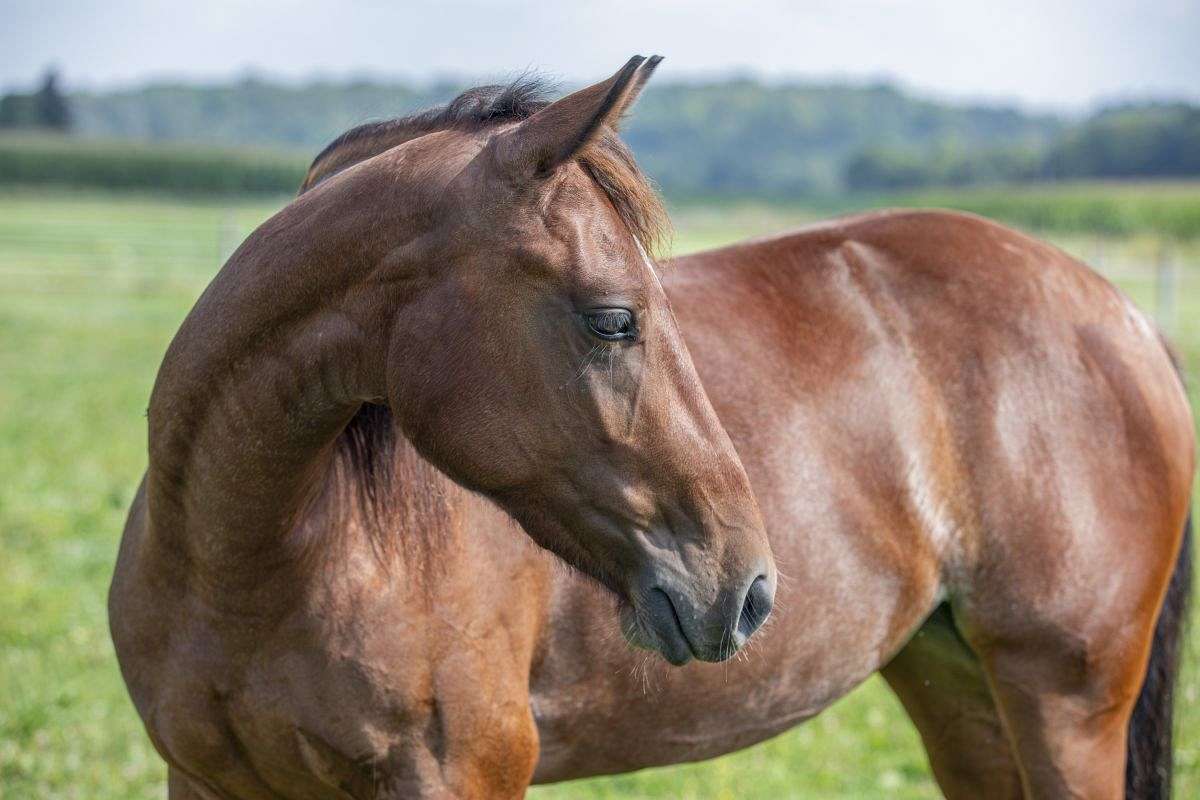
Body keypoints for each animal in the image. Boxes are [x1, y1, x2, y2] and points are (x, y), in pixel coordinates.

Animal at [110, 56, 1195, 799]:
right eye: (614, 318)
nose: (747, 586)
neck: (253, 566)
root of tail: (1124, 316)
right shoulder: (205, 780)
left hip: (1066, 700)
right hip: (959, 687)